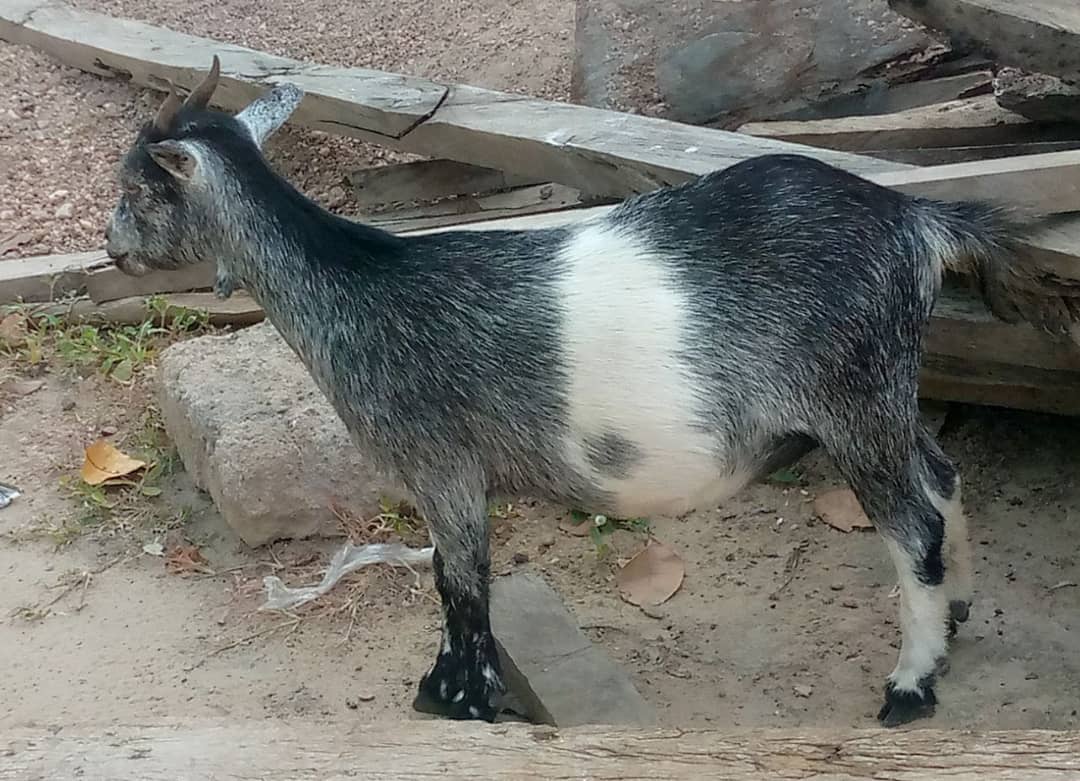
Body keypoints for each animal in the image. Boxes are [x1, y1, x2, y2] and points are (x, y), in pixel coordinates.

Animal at [105, 57, 1074, 727]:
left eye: (132, 187)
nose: (112, 248)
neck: (359, 283)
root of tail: (918, 218)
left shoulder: (439, 461)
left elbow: (459, 577)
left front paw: (455, 696)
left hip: (853, 398)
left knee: (912, 525)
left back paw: (910, 684)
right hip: (886, 391)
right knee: (942, 478)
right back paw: (958, 617)